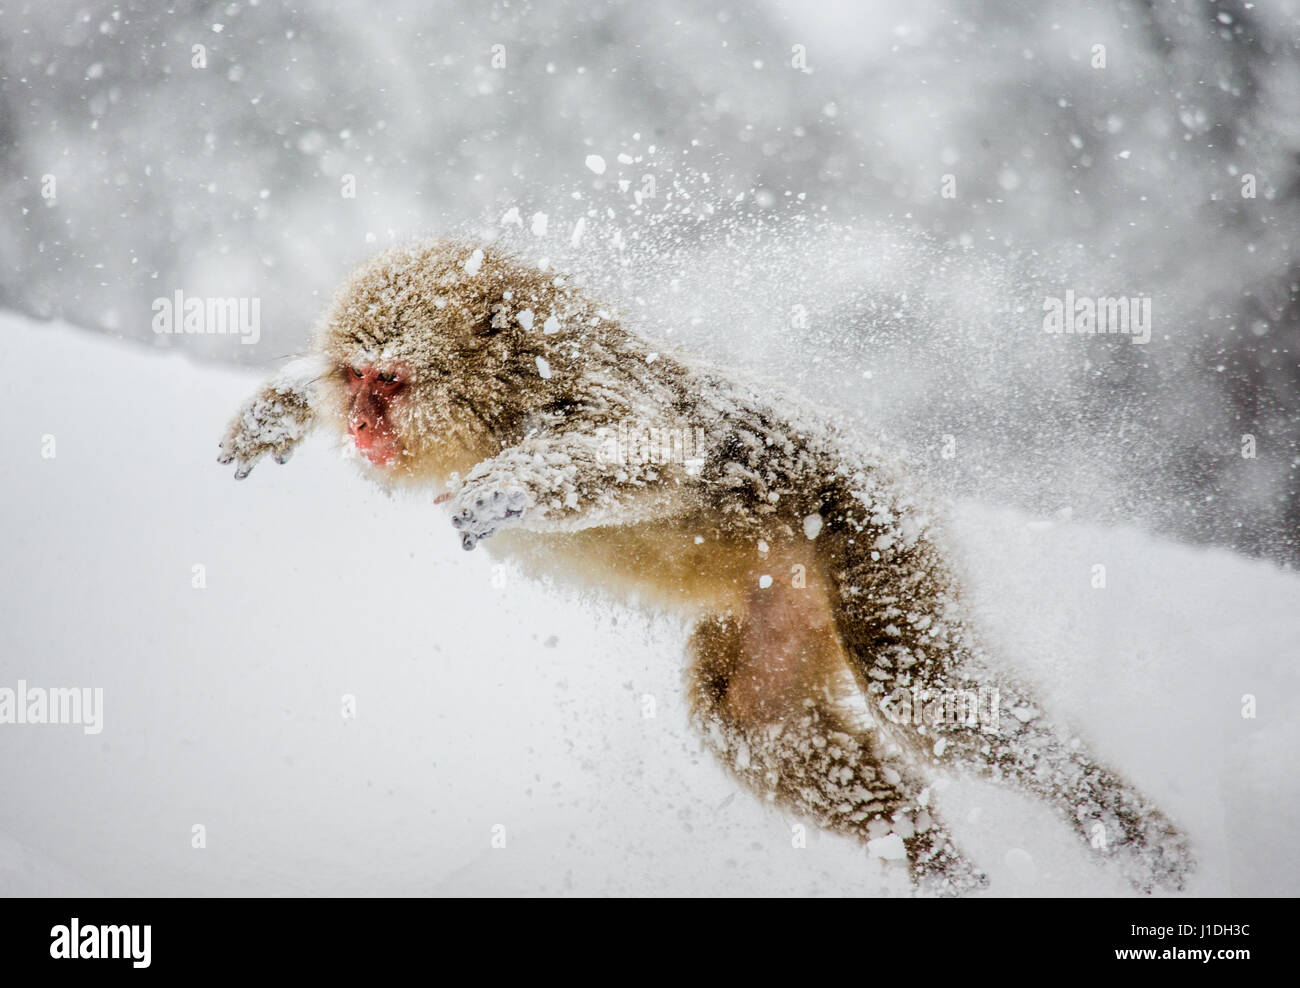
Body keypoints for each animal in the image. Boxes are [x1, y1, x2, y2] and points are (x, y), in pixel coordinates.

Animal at [218, 239, 1193, 895]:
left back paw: (1130, 833)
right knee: (754, 724)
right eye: (357, 378)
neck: (494, 404)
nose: (360, 426)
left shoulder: (571, 373)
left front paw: (513, 484)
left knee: (925, 695)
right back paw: (934, 862)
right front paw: (278, 408)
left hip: (873, 525)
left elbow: (664, 445)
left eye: (389, 382)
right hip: (779, 608)